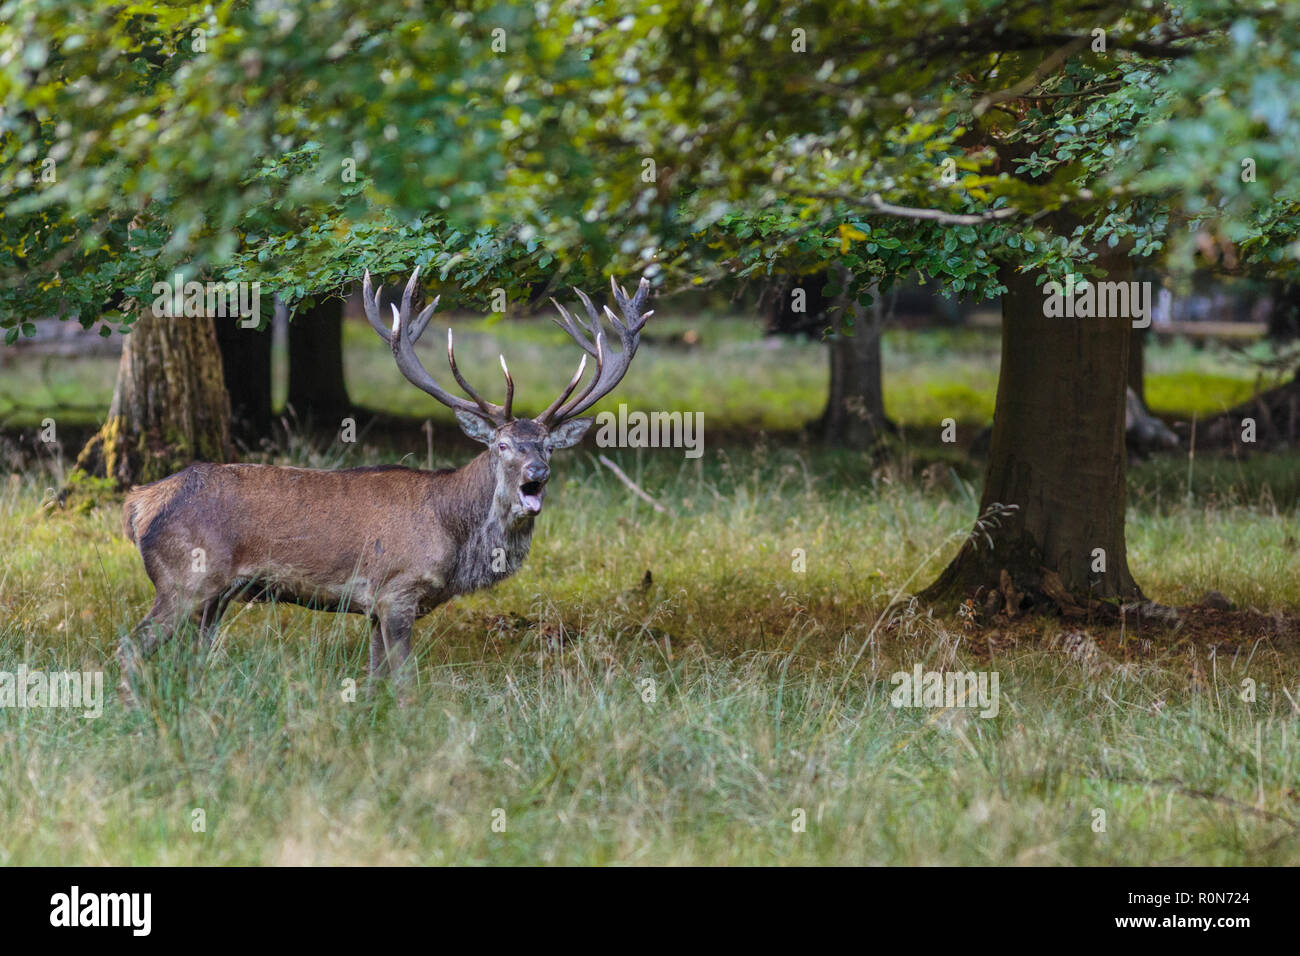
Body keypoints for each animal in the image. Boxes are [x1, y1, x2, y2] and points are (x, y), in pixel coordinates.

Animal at [118, 267, 652, 698]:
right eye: (502, 445)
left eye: (547, 446)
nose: (536, 475)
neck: (454, 537)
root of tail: (140, 502)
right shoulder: (398, 589)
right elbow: (405, 681)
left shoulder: (375, 606)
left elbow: (376, 679)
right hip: (186, 578)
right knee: (131, 645)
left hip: (214, 597)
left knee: (191, 657)